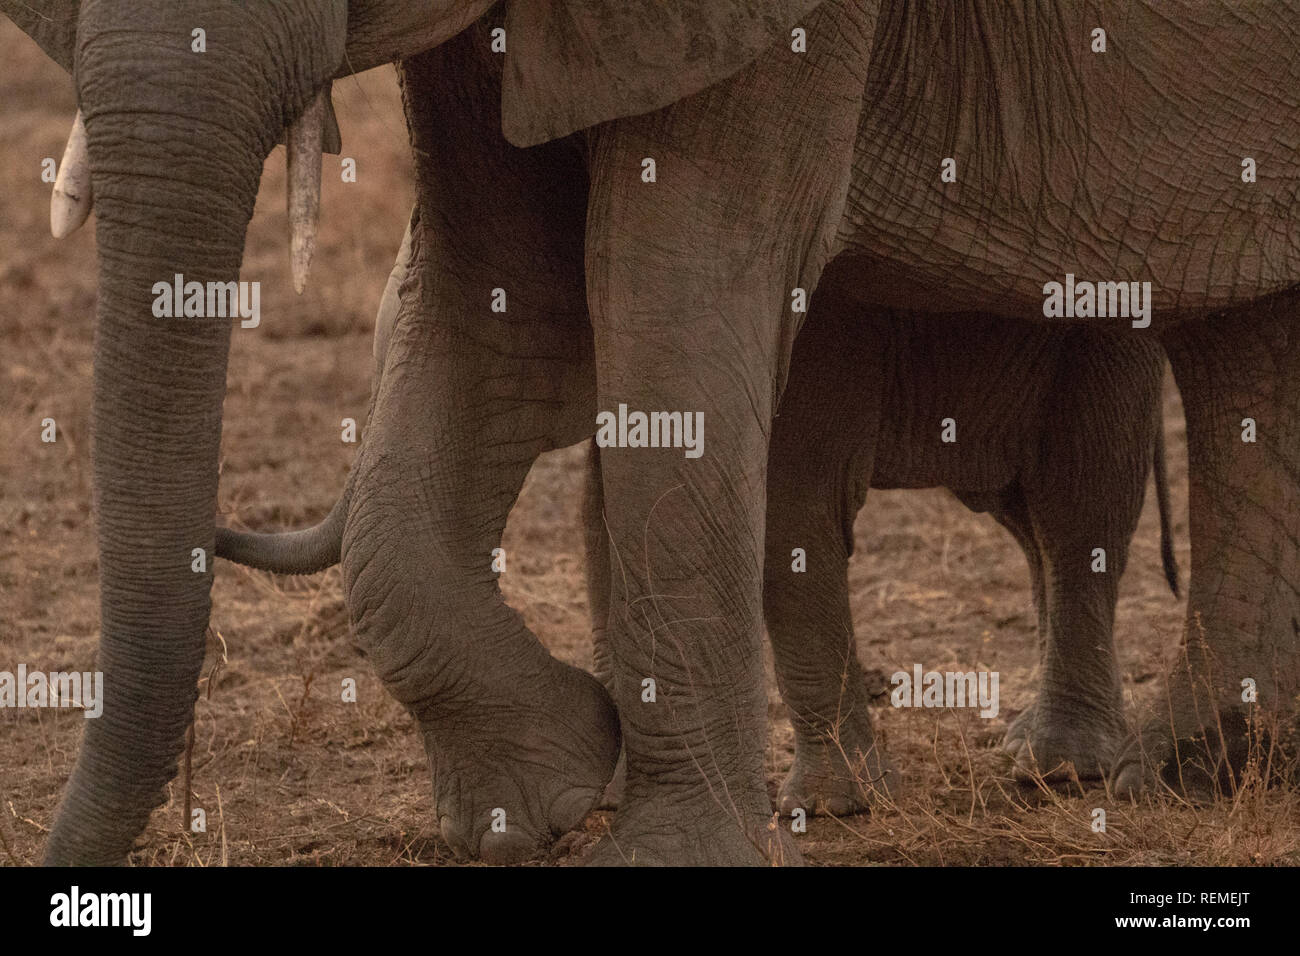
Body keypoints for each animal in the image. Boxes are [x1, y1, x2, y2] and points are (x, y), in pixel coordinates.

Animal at [7, 0, 1299, 865]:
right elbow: (505, 295)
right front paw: (533, 802)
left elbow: (674, 302)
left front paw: (666, 841)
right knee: (1247, 339)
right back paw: (1216, 761)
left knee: (1096, 486)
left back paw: (1100, 767)